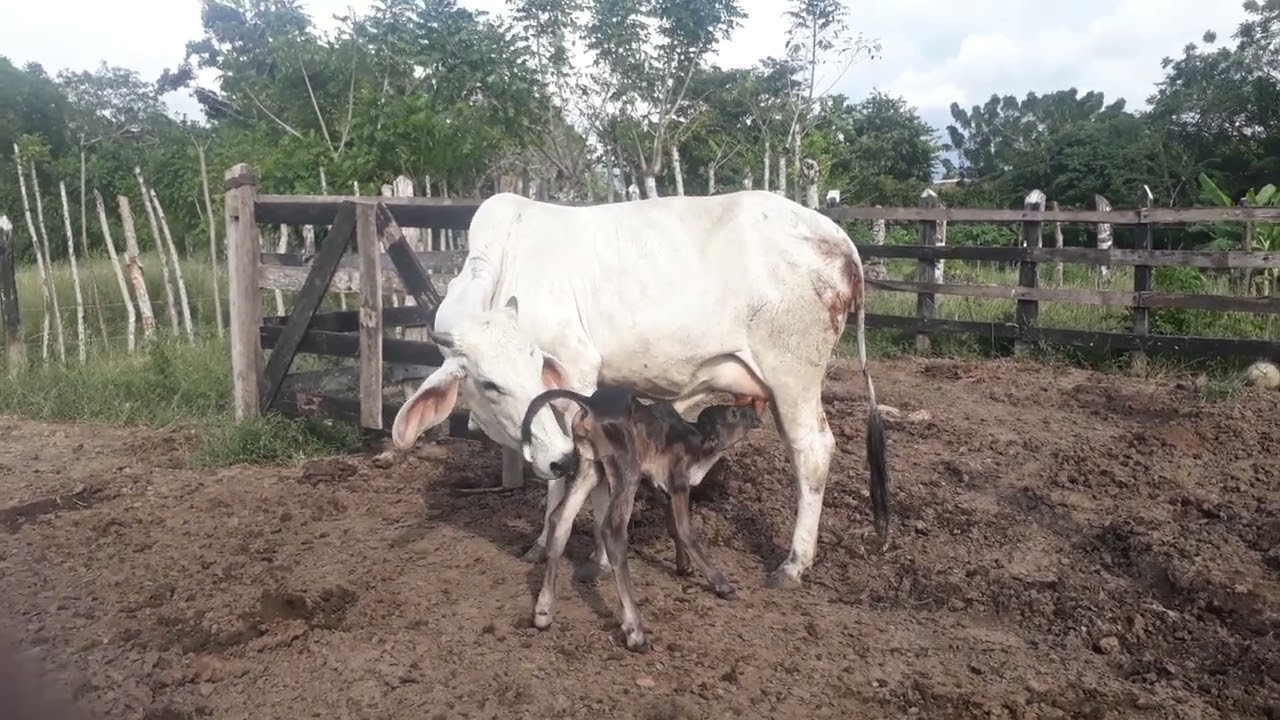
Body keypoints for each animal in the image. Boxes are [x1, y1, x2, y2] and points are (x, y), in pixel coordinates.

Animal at [390, 190, 890, 590]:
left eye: (536, 365)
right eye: (490, 384)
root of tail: (837, 235)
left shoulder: (578, 372)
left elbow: (575, 474)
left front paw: (573, 547)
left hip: (794, 375)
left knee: (813, 451)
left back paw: (794, 564)